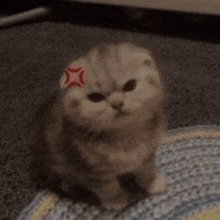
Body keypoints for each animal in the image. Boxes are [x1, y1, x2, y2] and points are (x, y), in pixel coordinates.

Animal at [29, 42, 167, 211]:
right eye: (95, 97)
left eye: (130, 85)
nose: (117, 104)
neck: (124, 135)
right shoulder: (92, 168)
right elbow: (108, 186)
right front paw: (115, 200)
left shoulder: (147, 153)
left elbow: (146, 170)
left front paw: (152, 183)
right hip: (56, 162)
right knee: (63, 177)